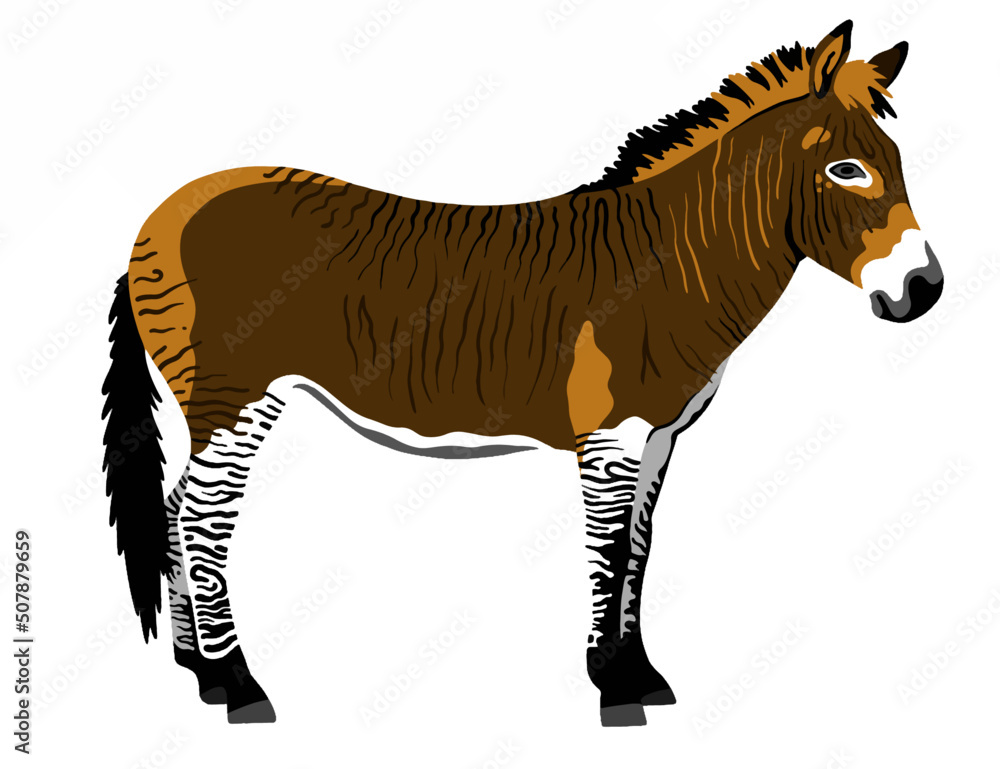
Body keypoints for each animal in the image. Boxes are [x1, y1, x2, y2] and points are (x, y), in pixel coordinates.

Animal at [103, 20, 943, 726]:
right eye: (846, 169)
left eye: (899, 163)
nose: (925, 291)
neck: (667, 264)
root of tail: (159, 217)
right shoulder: (610, 435)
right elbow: (610, 552)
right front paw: (613, 688)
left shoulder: (659, 437)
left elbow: (640, 551)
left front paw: (640, 675)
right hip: (235, 399)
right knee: (200, 520)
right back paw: (238, 684)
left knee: (175, 508)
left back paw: (198, 671)